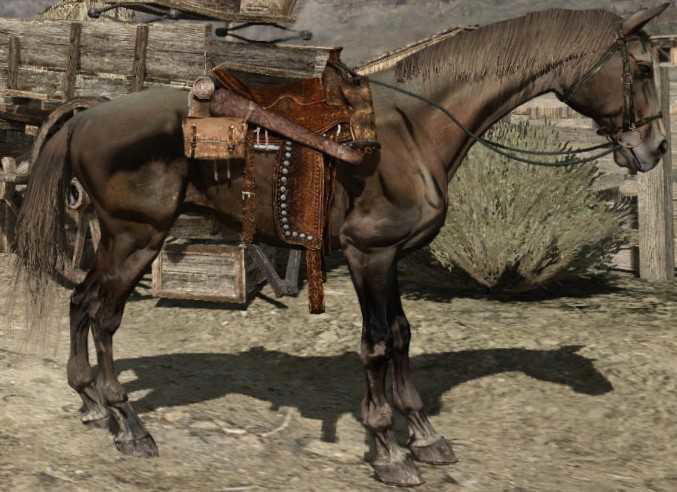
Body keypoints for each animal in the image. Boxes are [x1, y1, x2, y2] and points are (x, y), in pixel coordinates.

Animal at [12, 5, 670, 487]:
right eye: (640, 68)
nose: (655, 148)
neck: (412, 131)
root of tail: (86, 114)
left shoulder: (392, 257)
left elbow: (401, 336)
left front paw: (424, 435)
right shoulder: (367, 254)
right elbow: (376, 344)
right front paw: (387, 450)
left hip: (112, 240)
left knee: (80, 303)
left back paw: (90, 403)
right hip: (135, 238)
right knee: (104, 317)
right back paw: (128, 425)